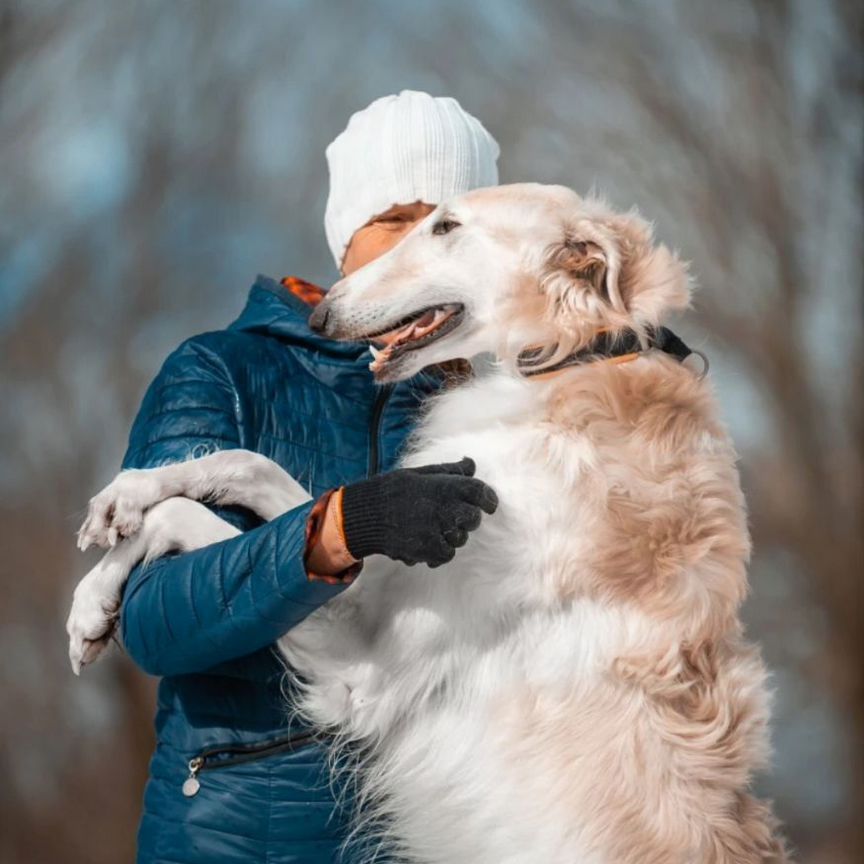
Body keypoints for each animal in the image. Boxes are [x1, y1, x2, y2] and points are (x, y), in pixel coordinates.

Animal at [67, 184, 788, 864]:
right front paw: (105, 562)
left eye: (446, 226)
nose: (323, 314)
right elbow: (250, 469)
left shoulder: (364, 663)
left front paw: (98, 585)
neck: (577, 358)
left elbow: (188, 516)